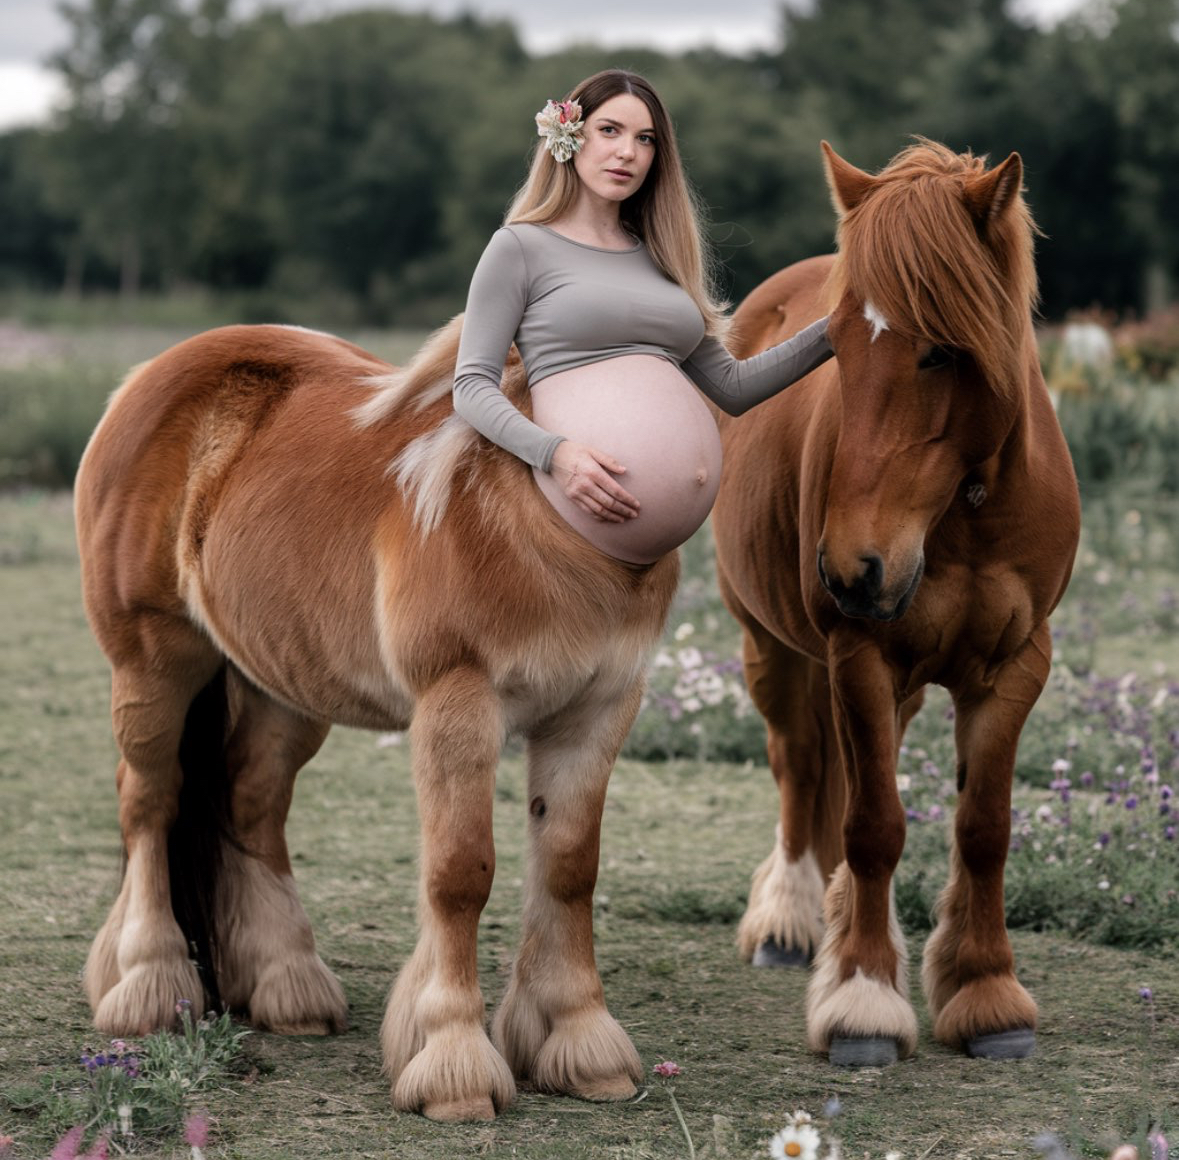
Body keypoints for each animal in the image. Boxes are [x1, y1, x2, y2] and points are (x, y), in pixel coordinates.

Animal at [73, 319, 681, 1121]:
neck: (535, 519)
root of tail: (147, 377)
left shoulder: (598, 709)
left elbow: (569, 867)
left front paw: (581, 1044)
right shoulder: (458, 705)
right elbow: (459, 873)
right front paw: (454, 1061)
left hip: (281, 687)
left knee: (253, 803)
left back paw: (290, 986)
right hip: (154, 663)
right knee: (149, 801)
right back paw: (146, 981)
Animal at [711, 139, 1081, 1065]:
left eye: (941, 352)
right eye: (834, 346)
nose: (850, 570)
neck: (967, 513)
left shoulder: (1014, 666)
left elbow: (982, 828)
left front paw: (986, 994)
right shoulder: (859, 654)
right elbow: (873, 824)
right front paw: (862, 1000)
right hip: (772, 648)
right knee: (801, 766)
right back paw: (790, 920)